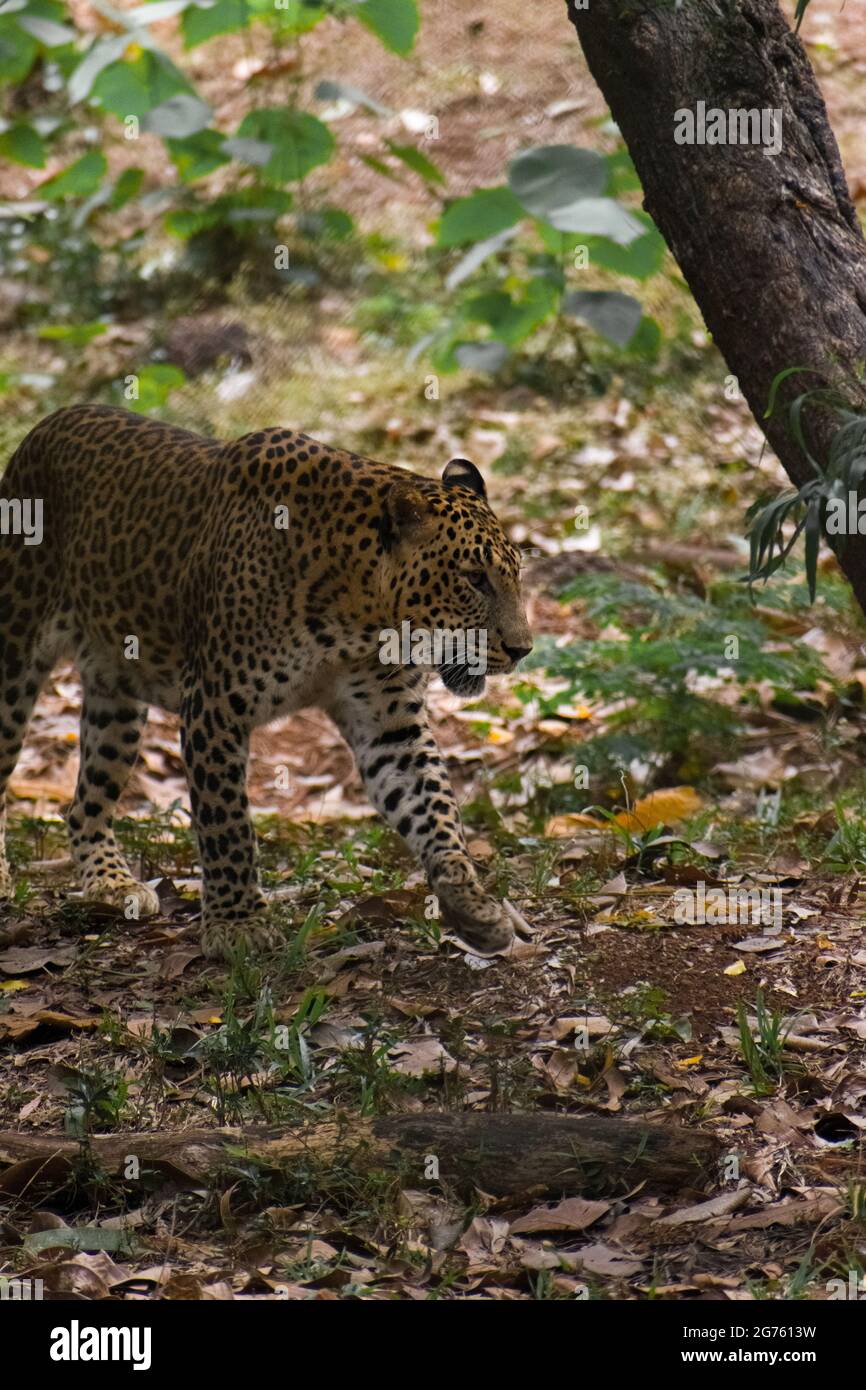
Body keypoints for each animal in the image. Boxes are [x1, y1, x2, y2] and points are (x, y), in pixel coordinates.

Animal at [0, 404, 533, 960]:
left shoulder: (387, 720)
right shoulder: (214, 707)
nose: (523, 648)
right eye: (474, 579)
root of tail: (50, 422)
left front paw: (471, 905)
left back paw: (111, 883)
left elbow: (434, 810)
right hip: (14, 654)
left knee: (85, 805)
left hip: (116, 697)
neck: (360, 616)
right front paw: (237, 924)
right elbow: (227, 823)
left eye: (516, 573)